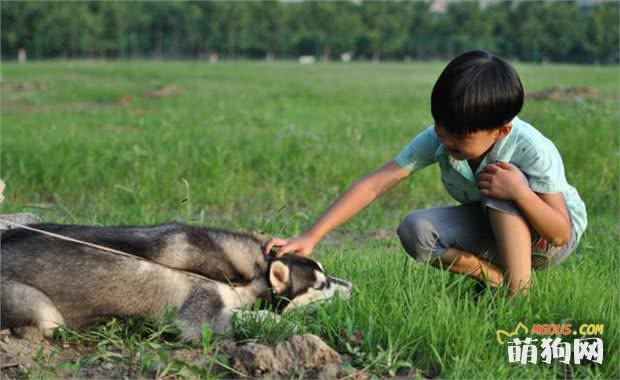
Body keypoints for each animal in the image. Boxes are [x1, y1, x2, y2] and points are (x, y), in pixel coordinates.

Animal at [0, 223, 352, 342]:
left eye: (327, 275)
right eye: (321, 285)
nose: (351, 286)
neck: (249, 279)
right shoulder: (201, 316)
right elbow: (254, 317)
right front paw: (292, 326)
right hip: (43, 311)